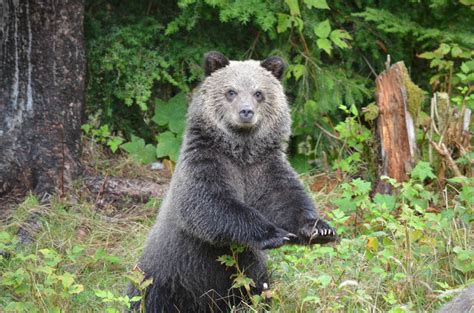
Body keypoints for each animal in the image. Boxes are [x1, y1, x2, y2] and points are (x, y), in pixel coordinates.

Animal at [129, 51, 336, 310]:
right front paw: (274, 233)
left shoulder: (264, 169)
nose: (246, 112)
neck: (241, 152)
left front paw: (320, 229)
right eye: (231, 91)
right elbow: (210, 205)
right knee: (147, 297)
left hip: (246, 276)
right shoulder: (208, 164)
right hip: (166, 274)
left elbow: (286, 199)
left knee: (257, 290)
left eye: (258, 93)